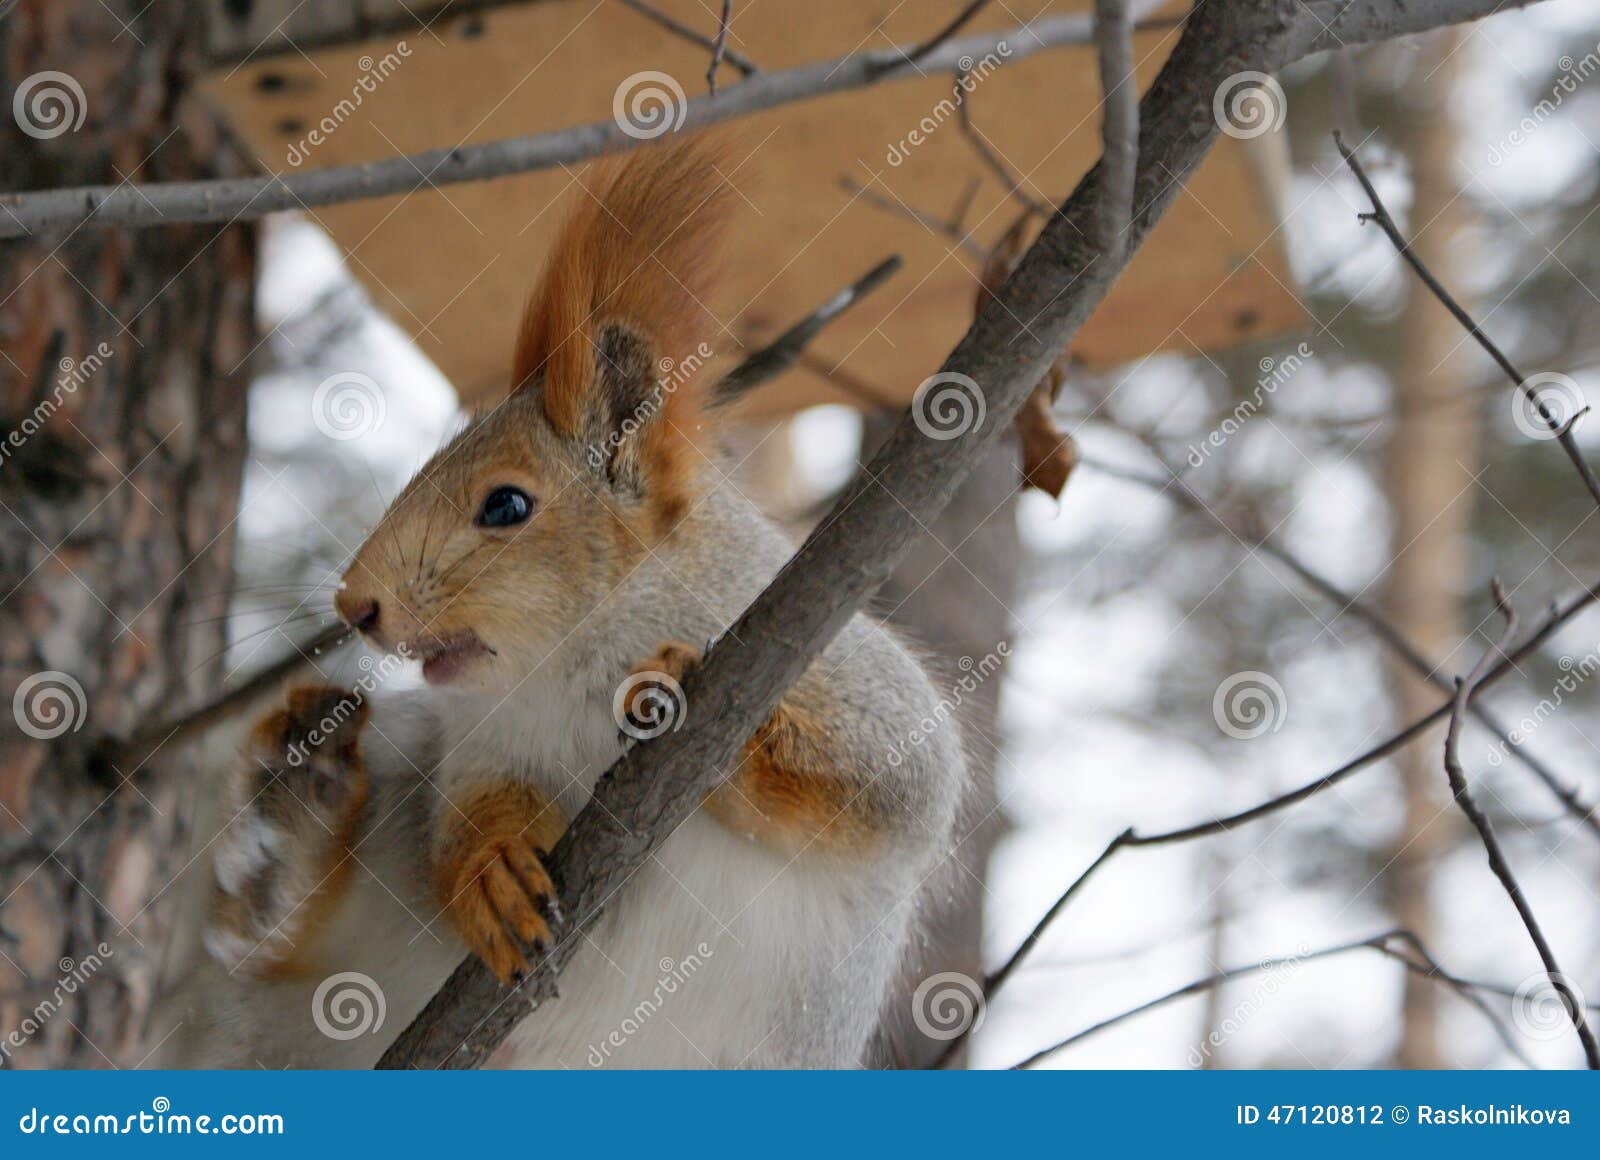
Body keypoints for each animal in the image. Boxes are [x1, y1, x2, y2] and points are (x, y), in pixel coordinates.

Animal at [159, 140, 968, 1068]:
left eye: (507, 505)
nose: (355, 605)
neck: (570, 667)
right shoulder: (480, 736)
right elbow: (467, 807)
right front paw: (492, 863)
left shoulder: (834, 659)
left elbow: (897, 784)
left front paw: (704, 715)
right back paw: (294, 810)